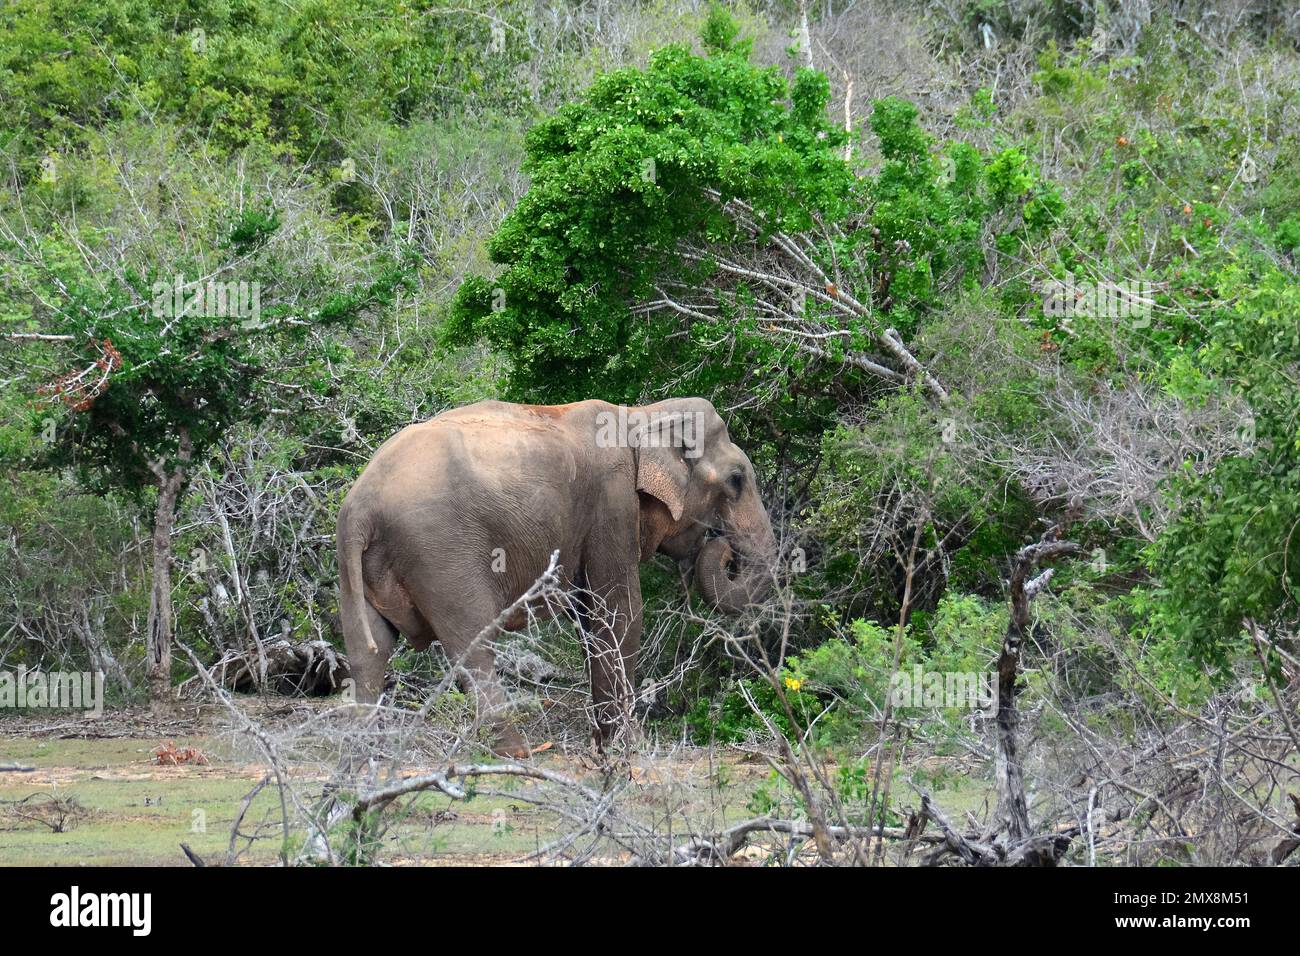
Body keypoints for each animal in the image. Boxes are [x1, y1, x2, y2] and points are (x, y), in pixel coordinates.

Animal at [336, 397, 777, 757]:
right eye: (736, 480)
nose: (721, 547)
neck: (640, 414)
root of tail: (361, 505)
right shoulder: (611, 503)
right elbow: (619, 611)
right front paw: (629, 745)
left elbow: (591, 618)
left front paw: (607, 742)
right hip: (441, 553)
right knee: (472, 646)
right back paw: (517, 751)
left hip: (359, 562)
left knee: (368, 650)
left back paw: (362, 753)